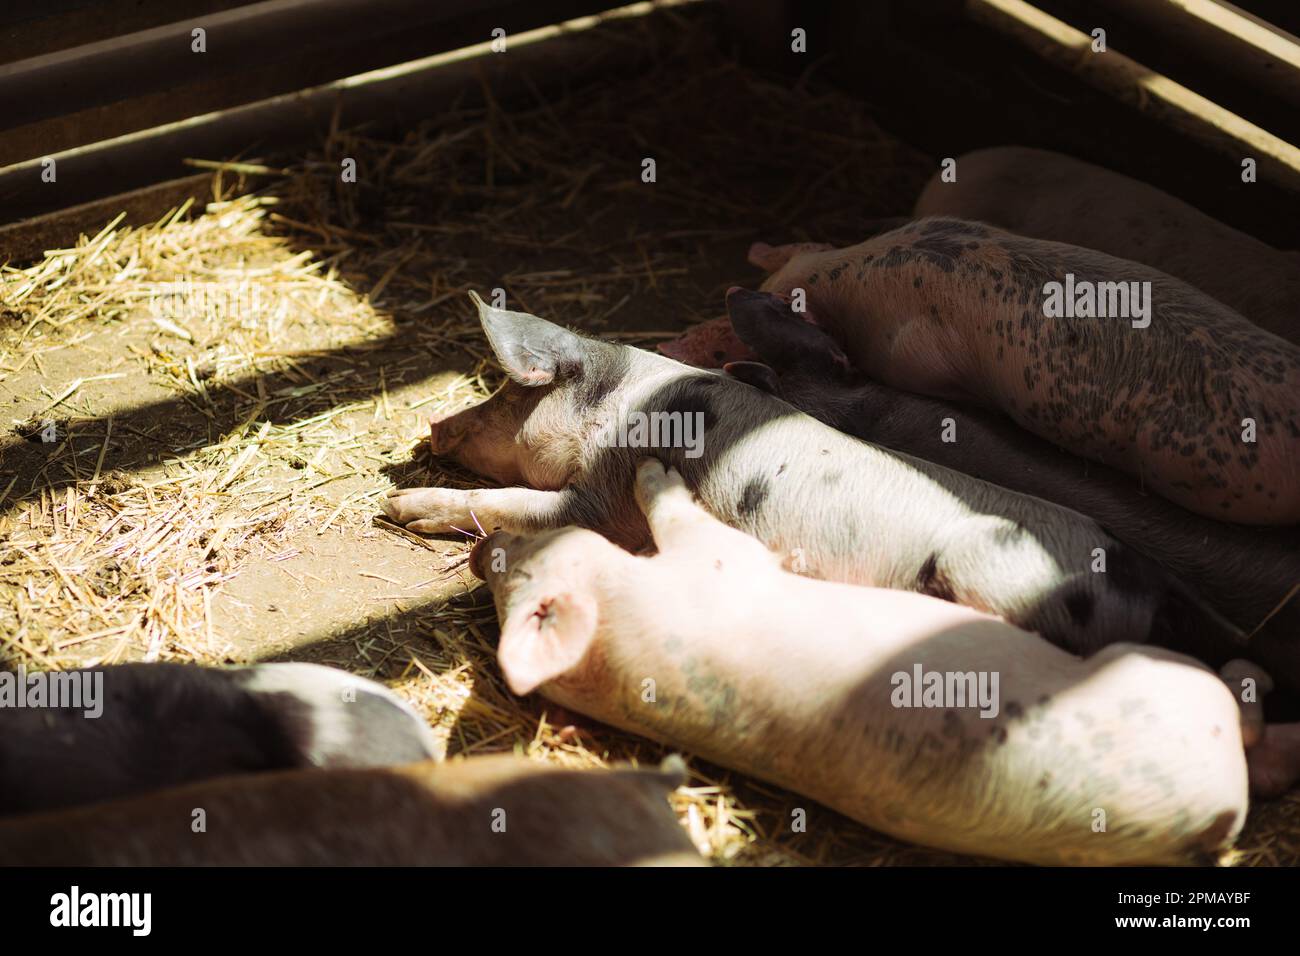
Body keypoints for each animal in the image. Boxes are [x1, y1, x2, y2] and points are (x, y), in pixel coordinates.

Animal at [469, 458, 1256, 865]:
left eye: (510, 583)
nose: (482, 554)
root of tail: (1217, 809)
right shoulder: (720, 561)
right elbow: (681, 513)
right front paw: (652, 463)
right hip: (1153, 669)